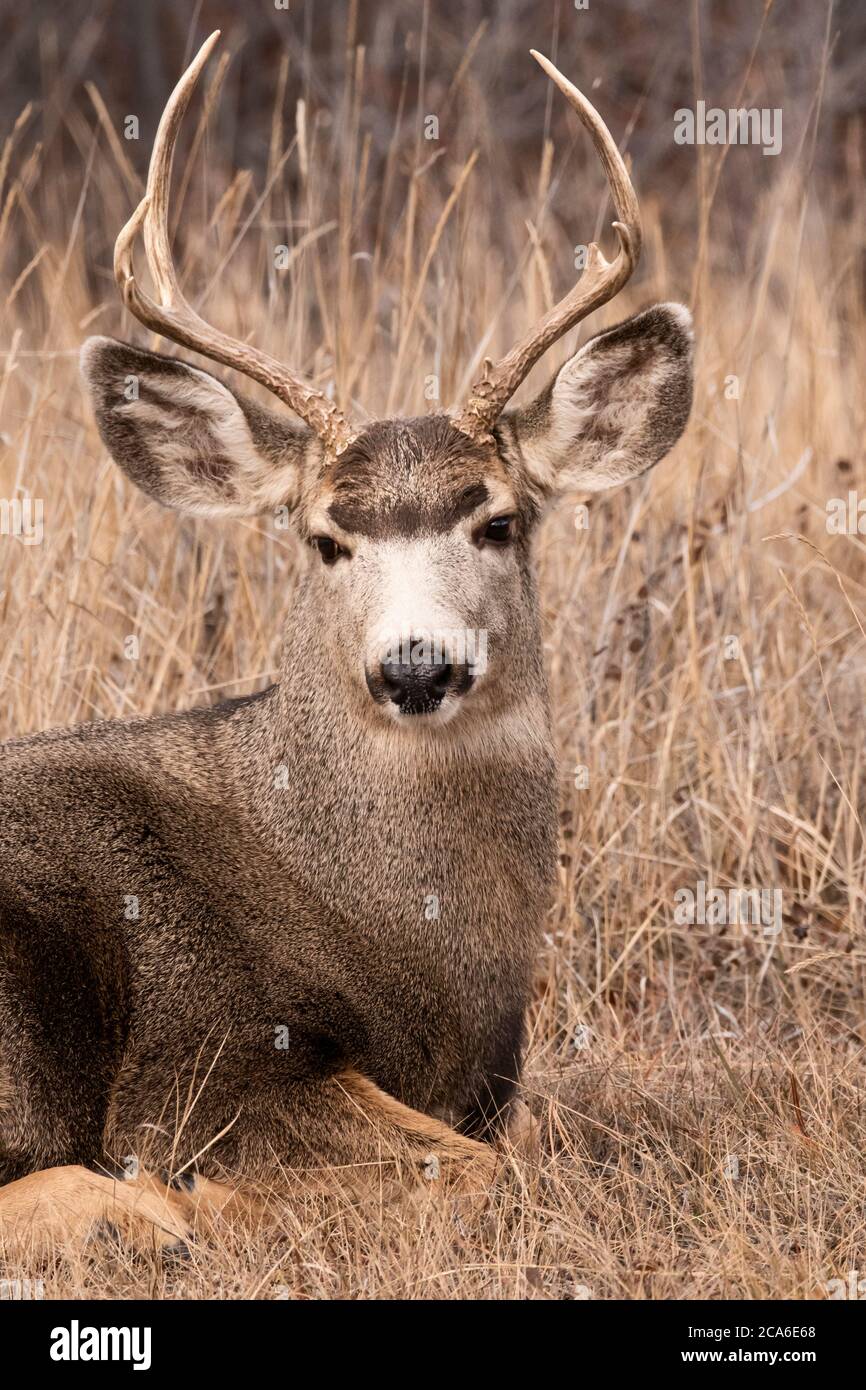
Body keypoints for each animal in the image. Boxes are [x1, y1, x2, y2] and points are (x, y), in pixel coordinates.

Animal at [0, 32, 692, 1255]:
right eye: (326, 538)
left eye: (498, 520)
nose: (416, 662)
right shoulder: (200, 1059)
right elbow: (485, 1171)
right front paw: (206, 1199)